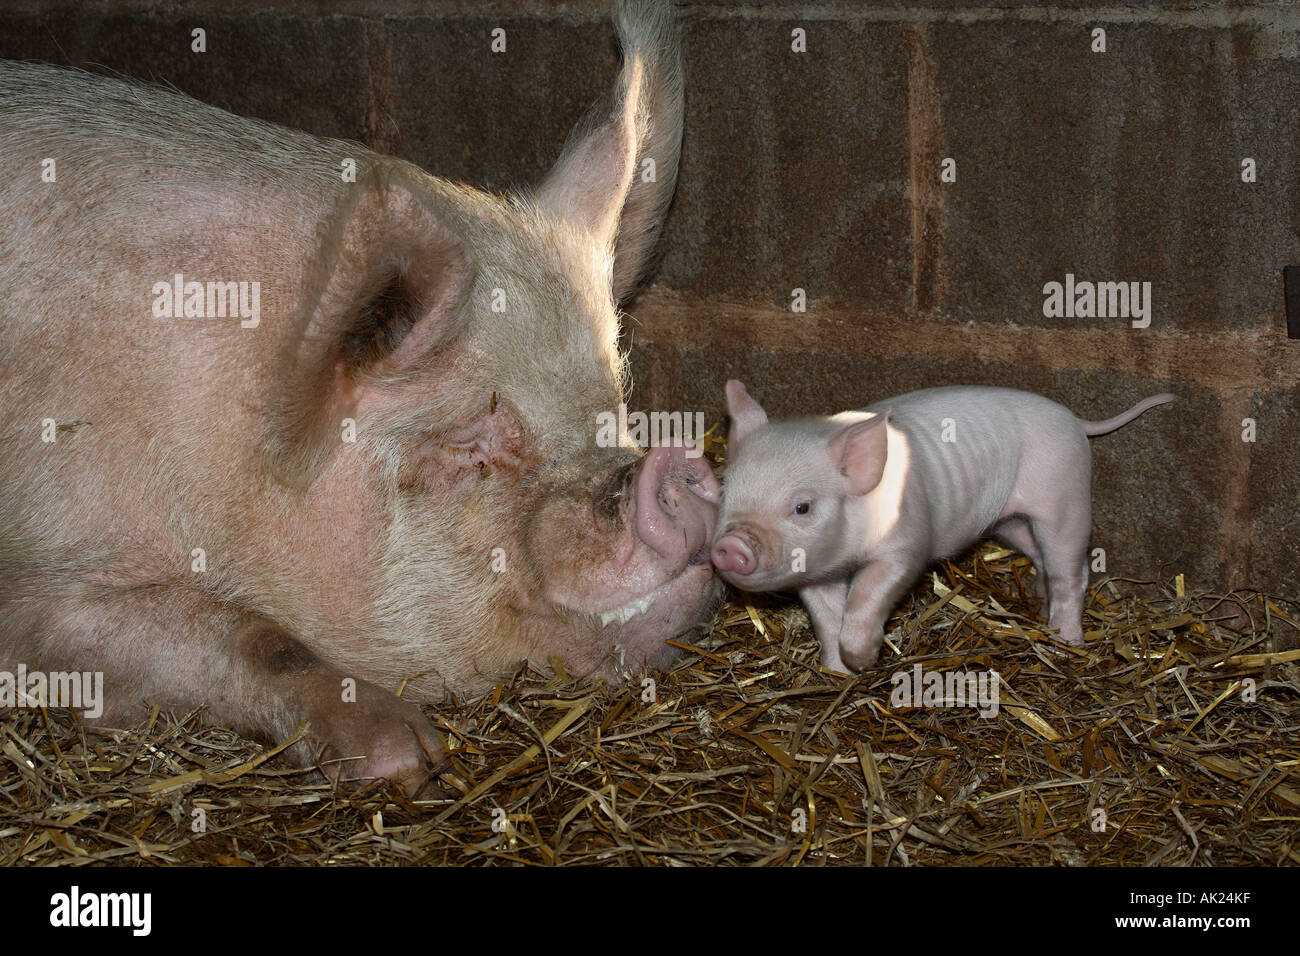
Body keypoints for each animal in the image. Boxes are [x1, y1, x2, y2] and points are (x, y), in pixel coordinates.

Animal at [0, 0, 720, 796]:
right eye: (468, 440)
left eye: (614, 402)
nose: (674, 467)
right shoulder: (42, 571)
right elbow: (246, 633)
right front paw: (412, 759)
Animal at [711, 380, 1175, 673]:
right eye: (725, 493)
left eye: (802, 507)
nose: (730, 545)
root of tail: (1077, 421)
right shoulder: (814, 573)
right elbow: (826, 617)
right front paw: (837, 673)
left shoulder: (907, 544)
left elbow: (866, 596)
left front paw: (863, 660)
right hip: (1008, 522)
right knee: (1047, 560)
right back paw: (1040, 605)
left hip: (1065, 497)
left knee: (1070, 570)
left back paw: (1065, 641)